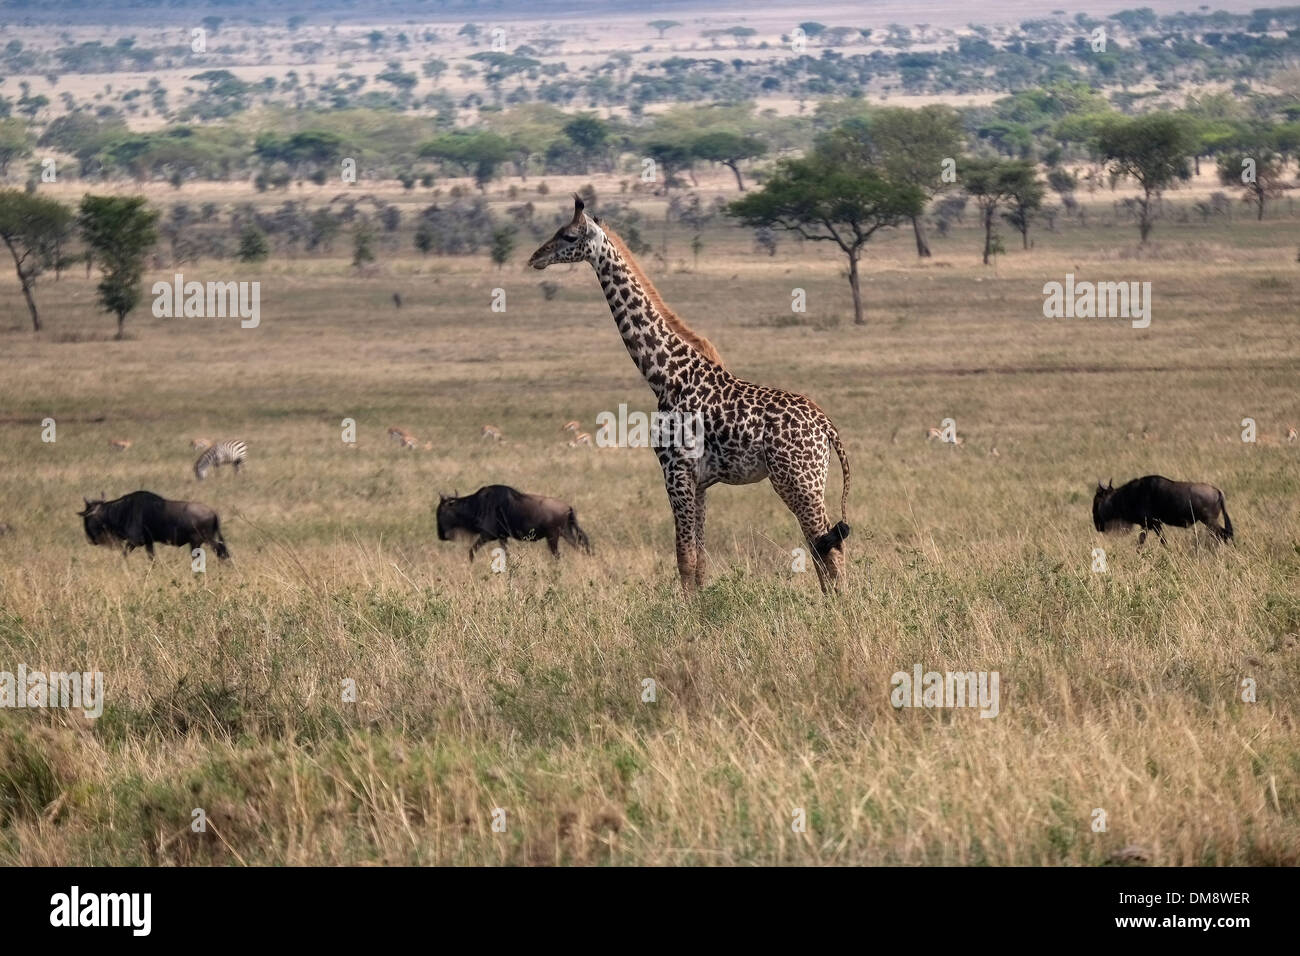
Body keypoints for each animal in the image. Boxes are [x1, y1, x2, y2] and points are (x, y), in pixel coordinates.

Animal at [527, 196, 851, 595]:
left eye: (568, 235)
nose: (535, 257)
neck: (665, 376)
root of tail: (827, 427)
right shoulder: (700, 482)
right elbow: (699, 561)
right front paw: (699, 604)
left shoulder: (675, 471)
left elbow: (684, 558)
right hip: (810, 481)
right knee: (823, 546)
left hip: (798, 480)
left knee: (829, 548)